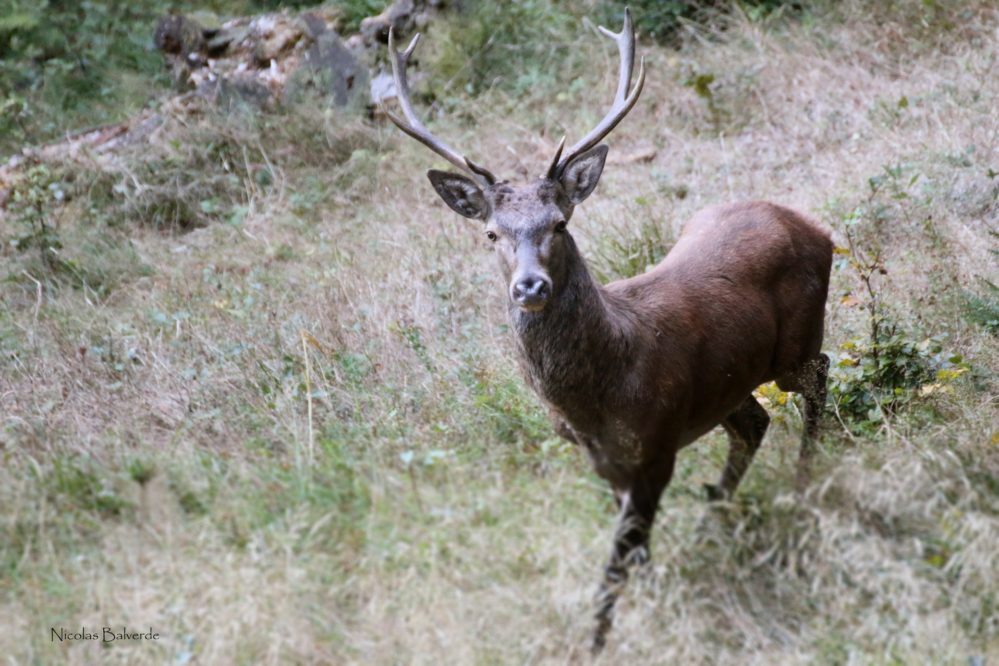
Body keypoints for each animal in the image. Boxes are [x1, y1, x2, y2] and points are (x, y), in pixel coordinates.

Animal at [383, 9, 832, 652]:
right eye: (492, 233)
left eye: (560, 223)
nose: (530, 287)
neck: (598, 395)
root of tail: (813, 226)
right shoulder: (603, 461)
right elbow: (635, 552)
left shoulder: (657, 444)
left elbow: (617, 561)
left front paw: (596, 642)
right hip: (725, 384)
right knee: (754, 420)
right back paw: (716, 515)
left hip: (796, 341)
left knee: (818, 378)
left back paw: (802, 480)